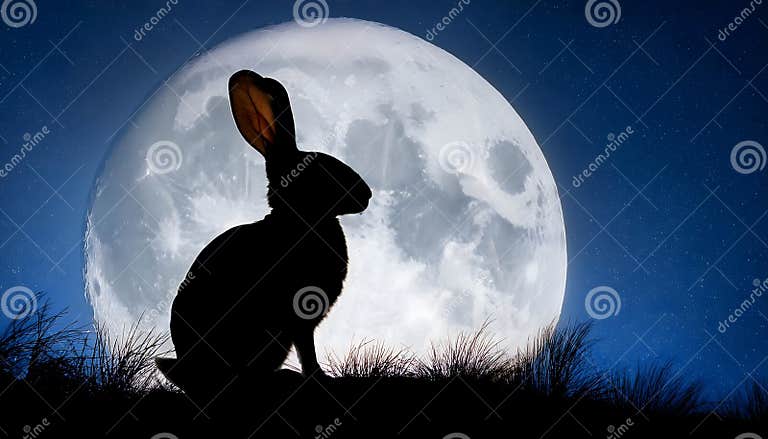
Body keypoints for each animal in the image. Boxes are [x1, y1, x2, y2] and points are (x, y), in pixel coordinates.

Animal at [164, 70, 372, 394]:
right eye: (323, 170)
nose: (367, 195)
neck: (301, 219)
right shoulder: (298, 317)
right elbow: (308, 351)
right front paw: (320, 378)